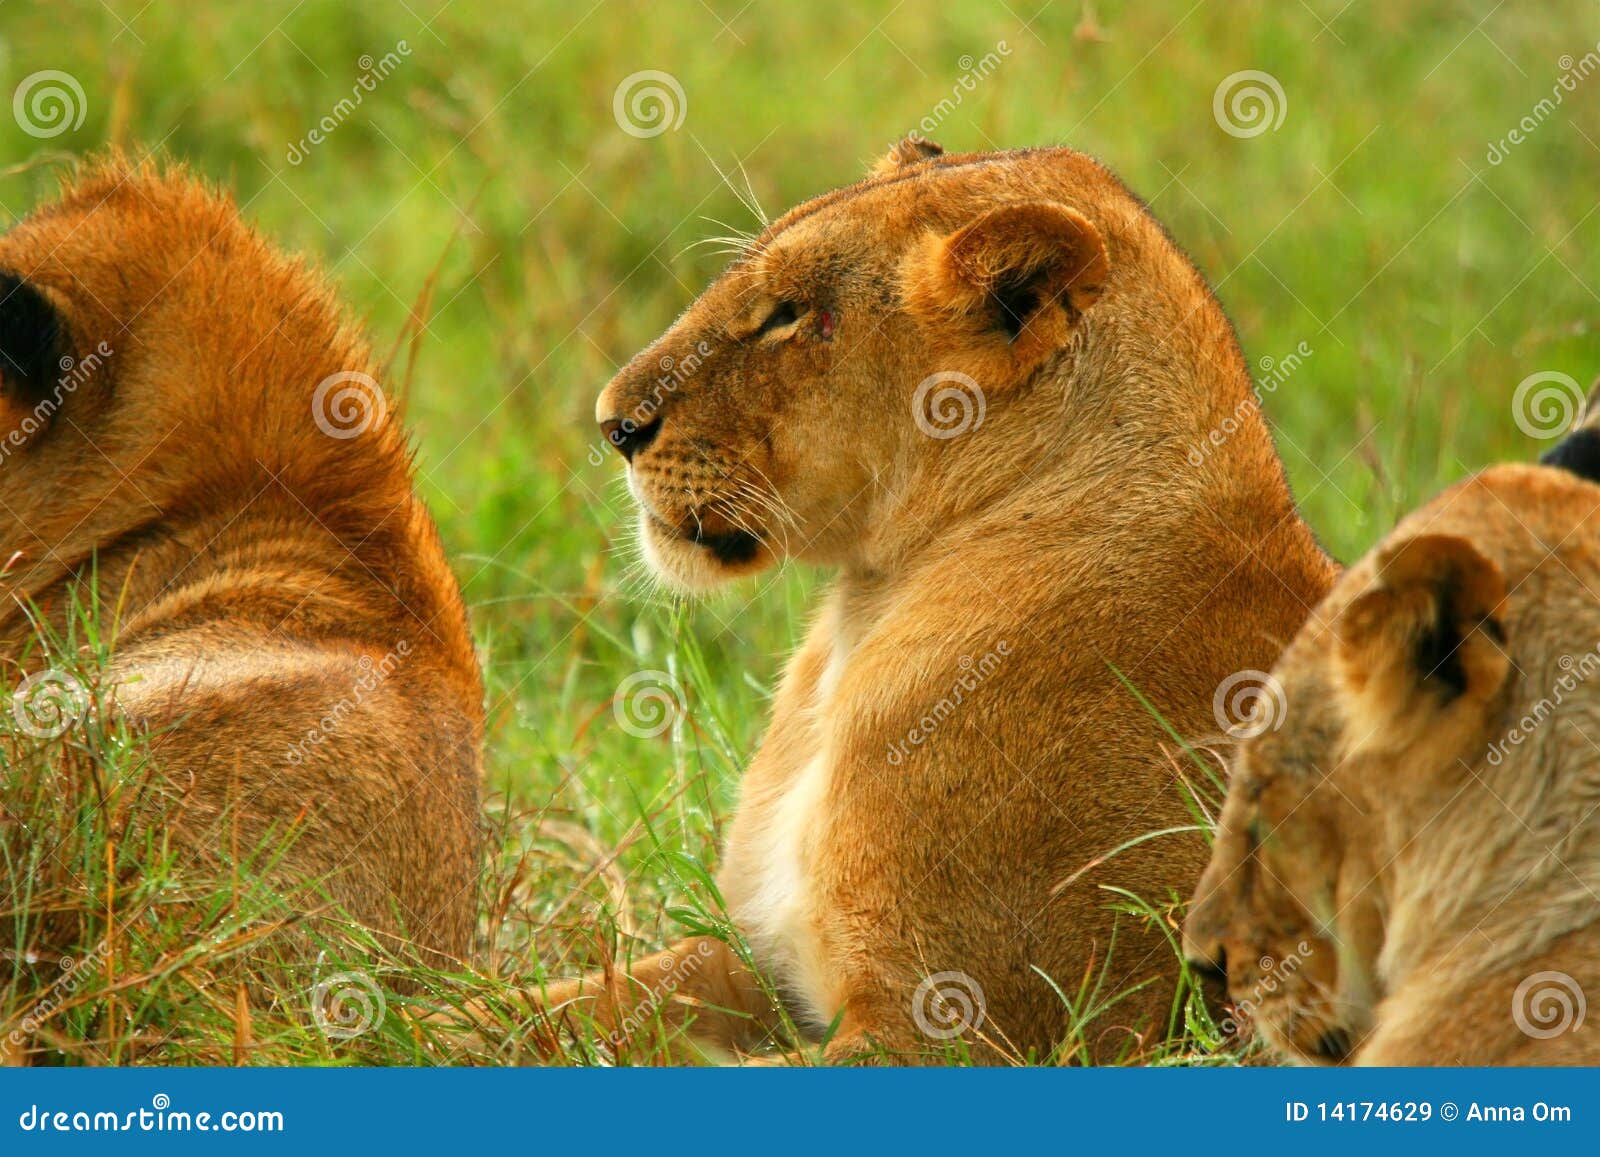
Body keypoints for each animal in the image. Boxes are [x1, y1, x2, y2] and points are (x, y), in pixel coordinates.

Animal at [543, 139, 1336, 1064]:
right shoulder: (760, 957)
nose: (613, 426)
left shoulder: (955, 1025)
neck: (869, 613)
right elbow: (558, 1005)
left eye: (789, 315)